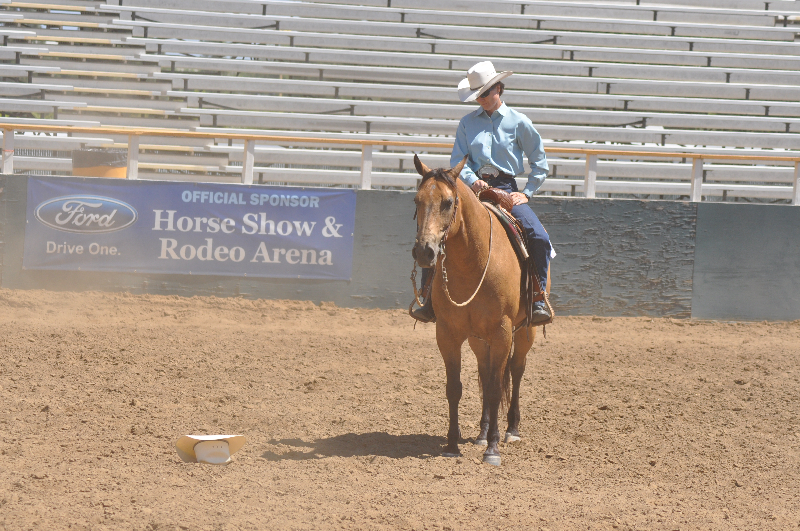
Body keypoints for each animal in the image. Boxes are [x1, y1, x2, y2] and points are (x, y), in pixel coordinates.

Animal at [411, 154, 550, 466]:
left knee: (515, 371)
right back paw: (482, 433)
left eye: (448, 202)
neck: (471, 263)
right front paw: (452, 444)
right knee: (486, 376)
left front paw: (493, 450)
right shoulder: (448, 334)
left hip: (524, 332)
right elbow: (456, 388)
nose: (425, 251)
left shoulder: (502, 332)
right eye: (417, 200)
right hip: (478, 339)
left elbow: (499, 387)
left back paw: (510, 430)